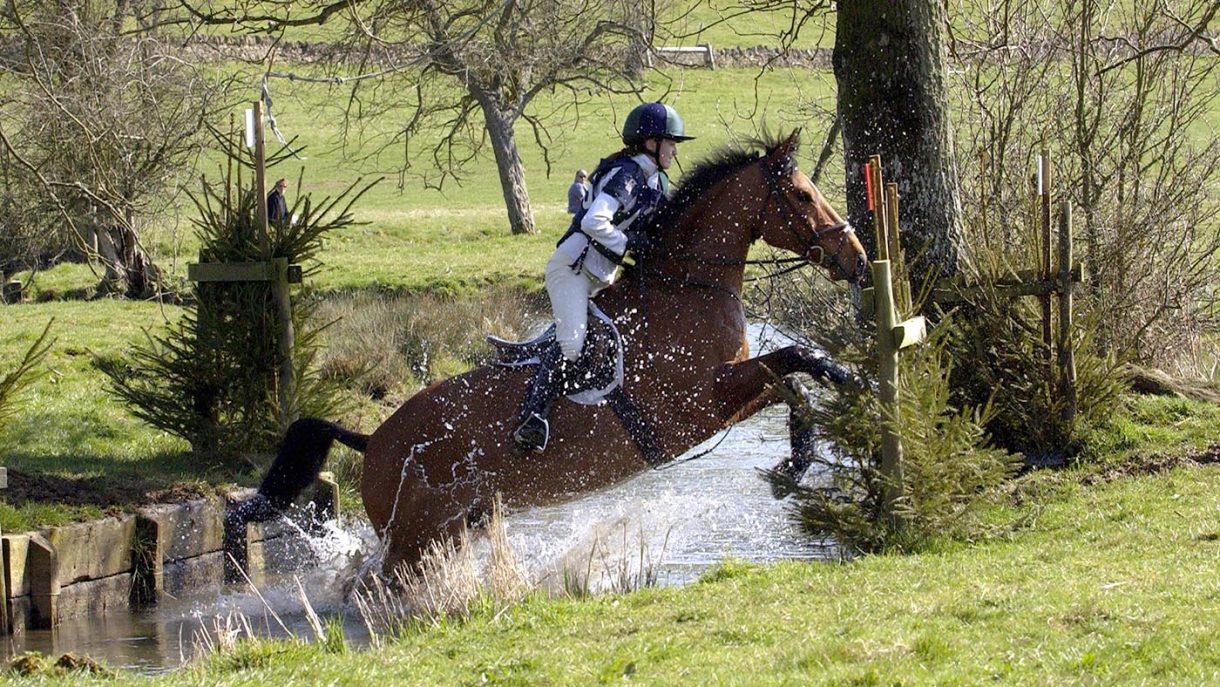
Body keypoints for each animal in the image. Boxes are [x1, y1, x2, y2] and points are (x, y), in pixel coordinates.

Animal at [229, 129, 867, 574]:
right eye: (804, 195)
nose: (858, 261)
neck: (688, 286)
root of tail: (373, 440)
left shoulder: (726, 395)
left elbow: (791, 377)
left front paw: (804, 451)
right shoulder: (699, 401)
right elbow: (790, 362)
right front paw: (835, 401)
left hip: (457, 527)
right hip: (417, 537)